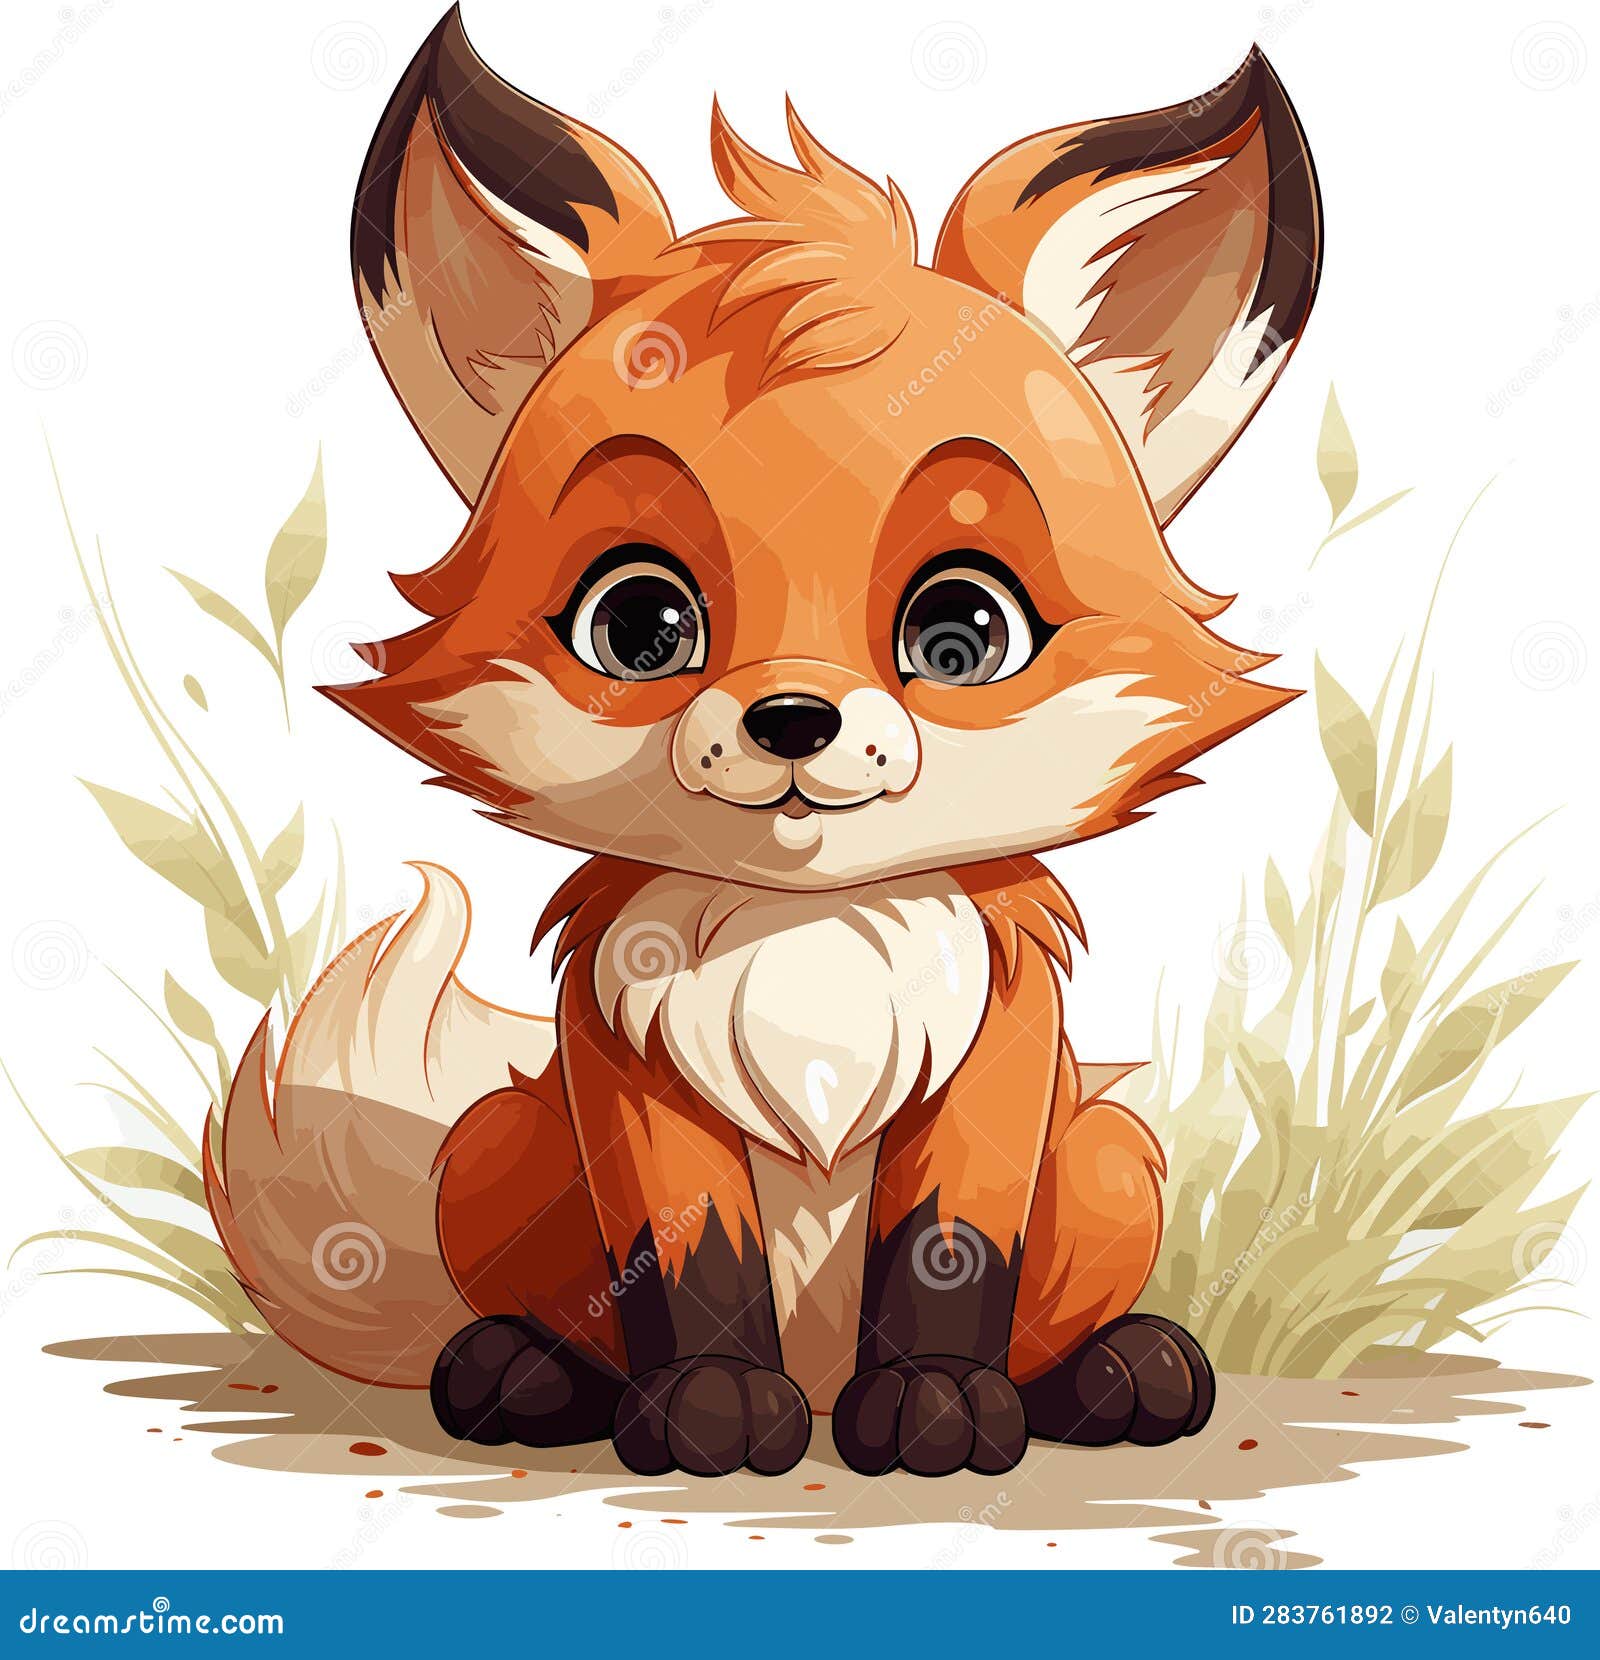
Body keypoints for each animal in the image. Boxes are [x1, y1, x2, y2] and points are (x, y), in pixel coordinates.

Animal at [205, 6, 1321, 1478]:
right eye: (638, 623)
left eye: (962, 631)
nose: (794, 715)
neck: (811, 939)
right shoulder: (624, 1067)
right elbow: (692, 1254)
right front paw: (714, 1409)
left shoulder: (998, 1063)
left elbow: (950, 1248)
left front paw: (937, 1404)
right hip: (500, 1143)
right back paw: (526, 1372)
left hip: (1107, 1162)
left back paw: (1114, 1374)